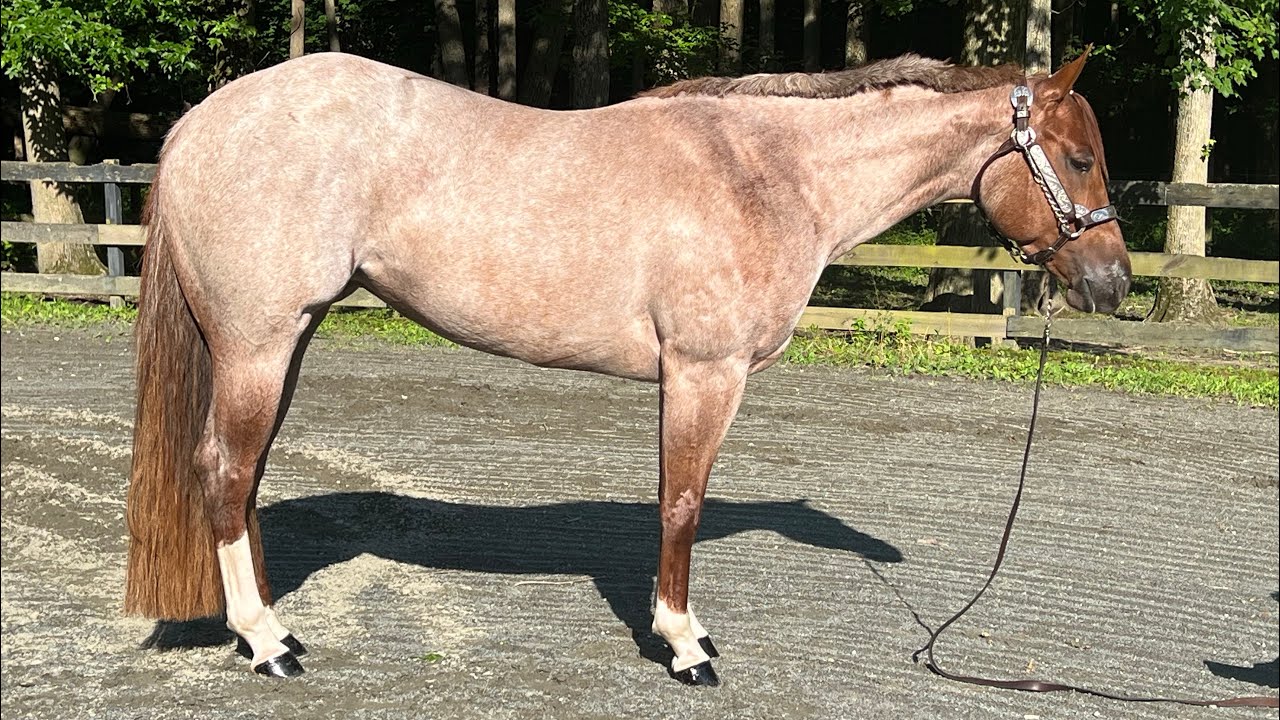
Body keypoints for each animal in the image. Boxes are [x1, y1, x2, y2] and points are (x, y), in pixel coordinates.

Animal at [124, 49, 1130, 685]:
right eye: (1080, 158)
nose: (1113, 283)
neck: (765, 172)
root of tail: (199, 122)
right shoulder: (704, 373)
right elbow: (680, 503)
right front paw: (684, 645)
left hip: (284, 343)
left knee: (244, 478)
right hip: (259, 344)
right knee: (225, 472)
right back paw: (267, 643)